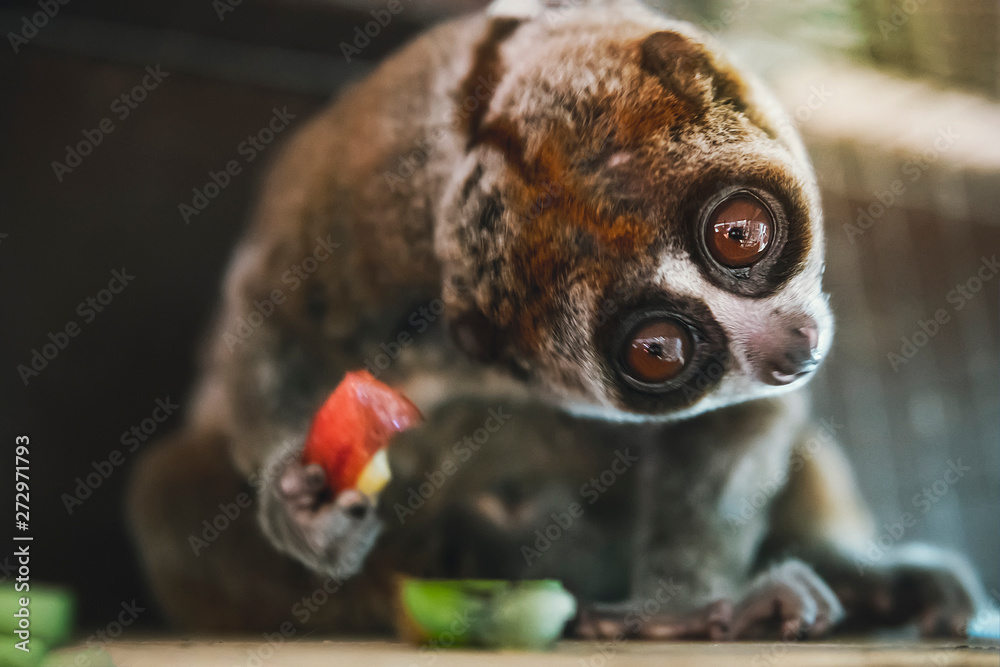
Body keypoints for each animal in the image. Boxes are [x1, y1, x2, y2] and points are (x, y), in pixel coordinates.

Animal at [128, 0, 988, 639]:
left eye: (739, 232)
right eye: (657, 349)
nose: (790, 348)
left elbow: (744, 419)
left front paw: (678, 607)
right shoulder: (359, 207)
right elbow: (269, 320)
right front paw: (303, 505)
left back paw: (870, 580)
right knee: (167, 501)